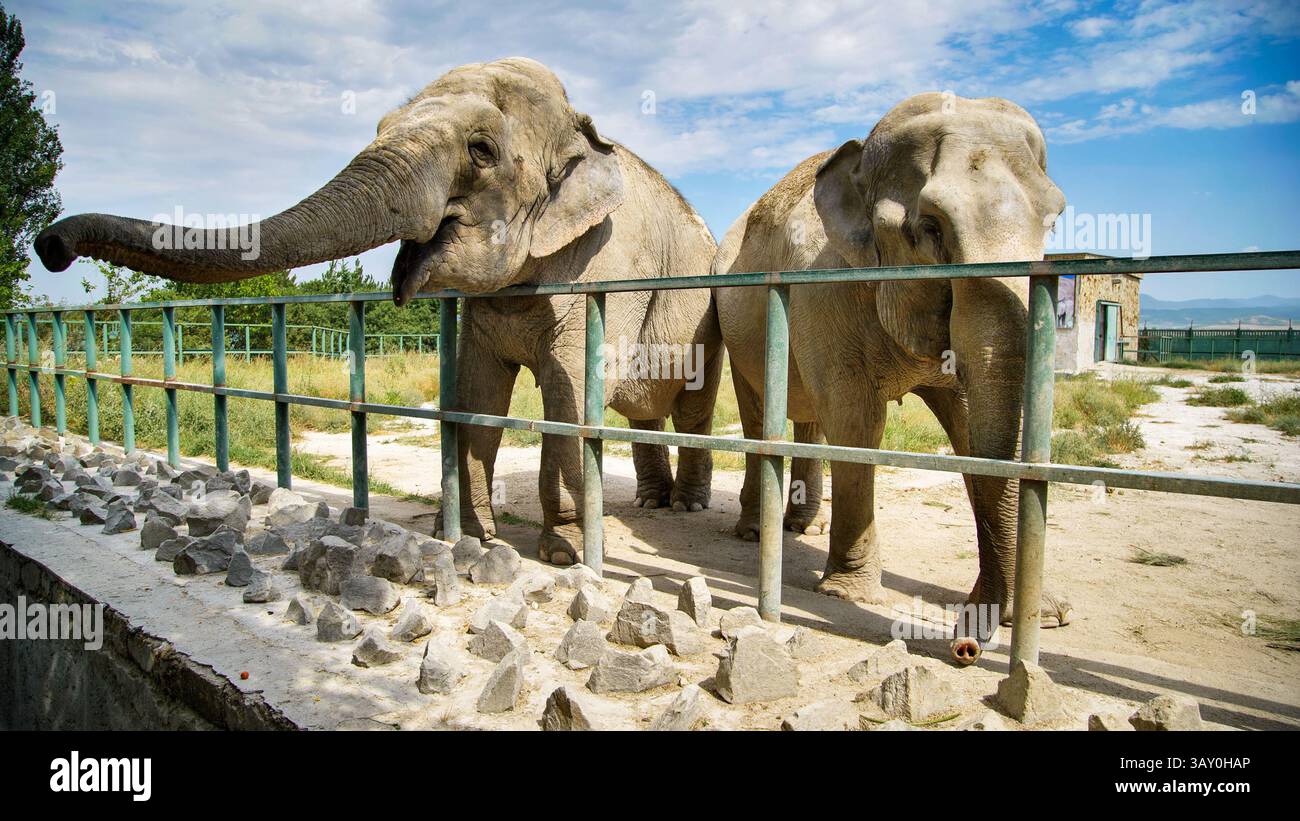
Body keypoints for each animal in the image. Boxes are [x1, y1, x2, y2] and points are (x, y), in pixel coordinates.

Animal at [35, 57, 723, 566]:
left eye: (481, 150)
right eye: (379, 126)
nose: (50, 246)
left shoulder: (606, 267)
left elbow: (567, 396)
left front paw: (565, 556)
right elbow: (478, 397)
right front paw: (472, 539)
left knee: (689, 405)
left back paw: (686, 507)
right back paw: (653, 503)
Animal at [712, 93, 1067, 664]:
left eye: (1052, 221)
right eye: (933, 228)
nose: (966, 642)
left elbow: (969, 429)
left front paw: (1049, 615)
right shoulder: (824, 294)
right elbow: (858, 425)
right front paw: (845, 594)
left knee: (808, 415)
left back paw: (803, 527)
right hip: (732, 320)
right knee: (757, 409)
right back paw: (754, 532)